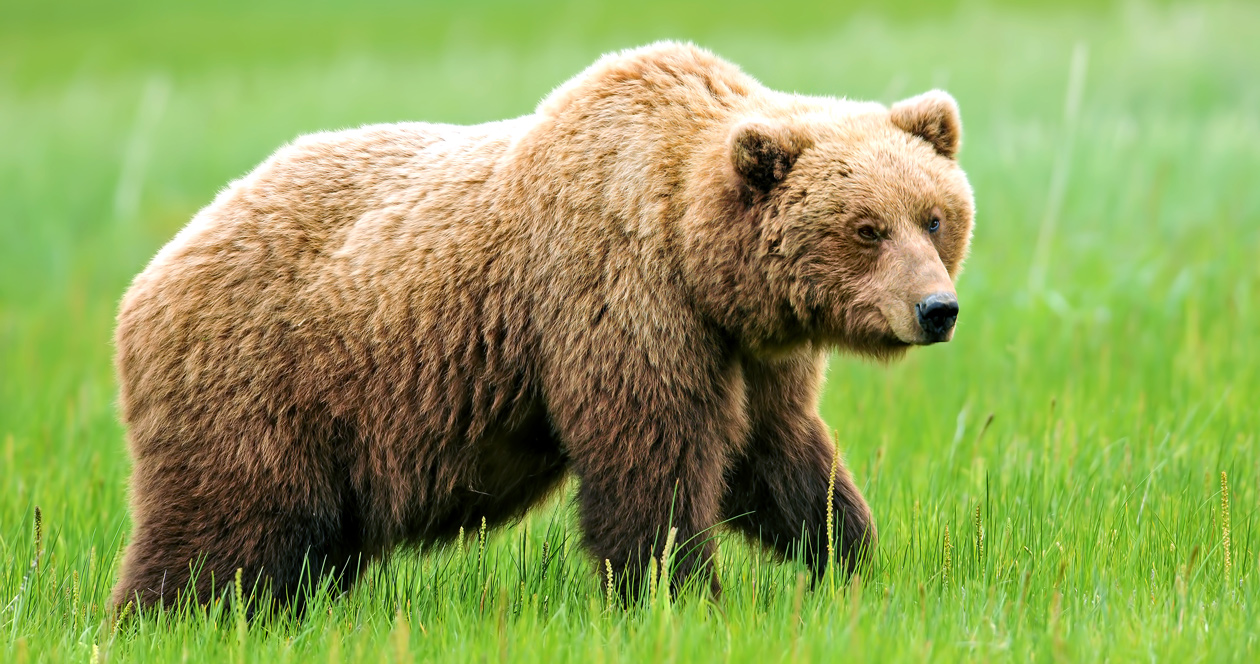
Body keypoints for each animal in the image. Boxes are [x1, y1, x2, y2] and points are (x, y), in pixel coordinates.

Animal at [111, 41, 974, 610]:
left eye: (933, 216)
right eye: (866, 228)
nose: (937, 310)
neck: (694, 254)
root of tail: (151, 272)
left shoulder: (749, 351)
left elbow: (778, 453)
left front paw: (845, 554)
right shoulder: (618, 296)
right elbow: (652, 460)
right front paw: (679, 593)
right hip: (263, 381)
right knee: (225, 527)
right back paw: (167, 614)